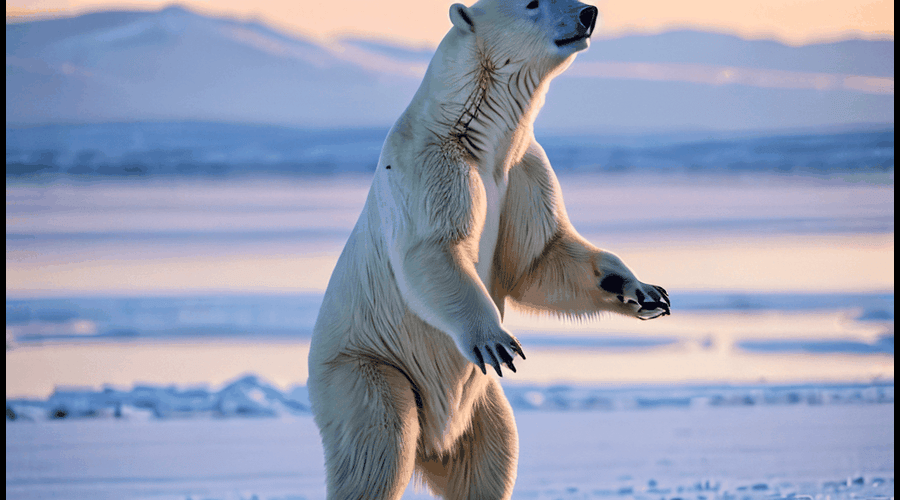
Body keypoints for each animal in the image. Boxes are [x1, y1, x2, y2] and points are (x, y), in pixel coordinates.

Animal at [307, 0, 670, 498]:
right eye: (533, 3)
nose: (588, 13)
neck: (473, 130)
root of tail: (433, 441)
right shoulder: (433, 166)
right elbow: (433, 248)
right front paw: (495, 338)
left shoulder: (522, 167)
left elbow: (540, 257)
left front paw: (645, 292)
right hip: (369, 367)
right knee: (379, 447)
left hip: (478, 405)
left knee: (490, 458)